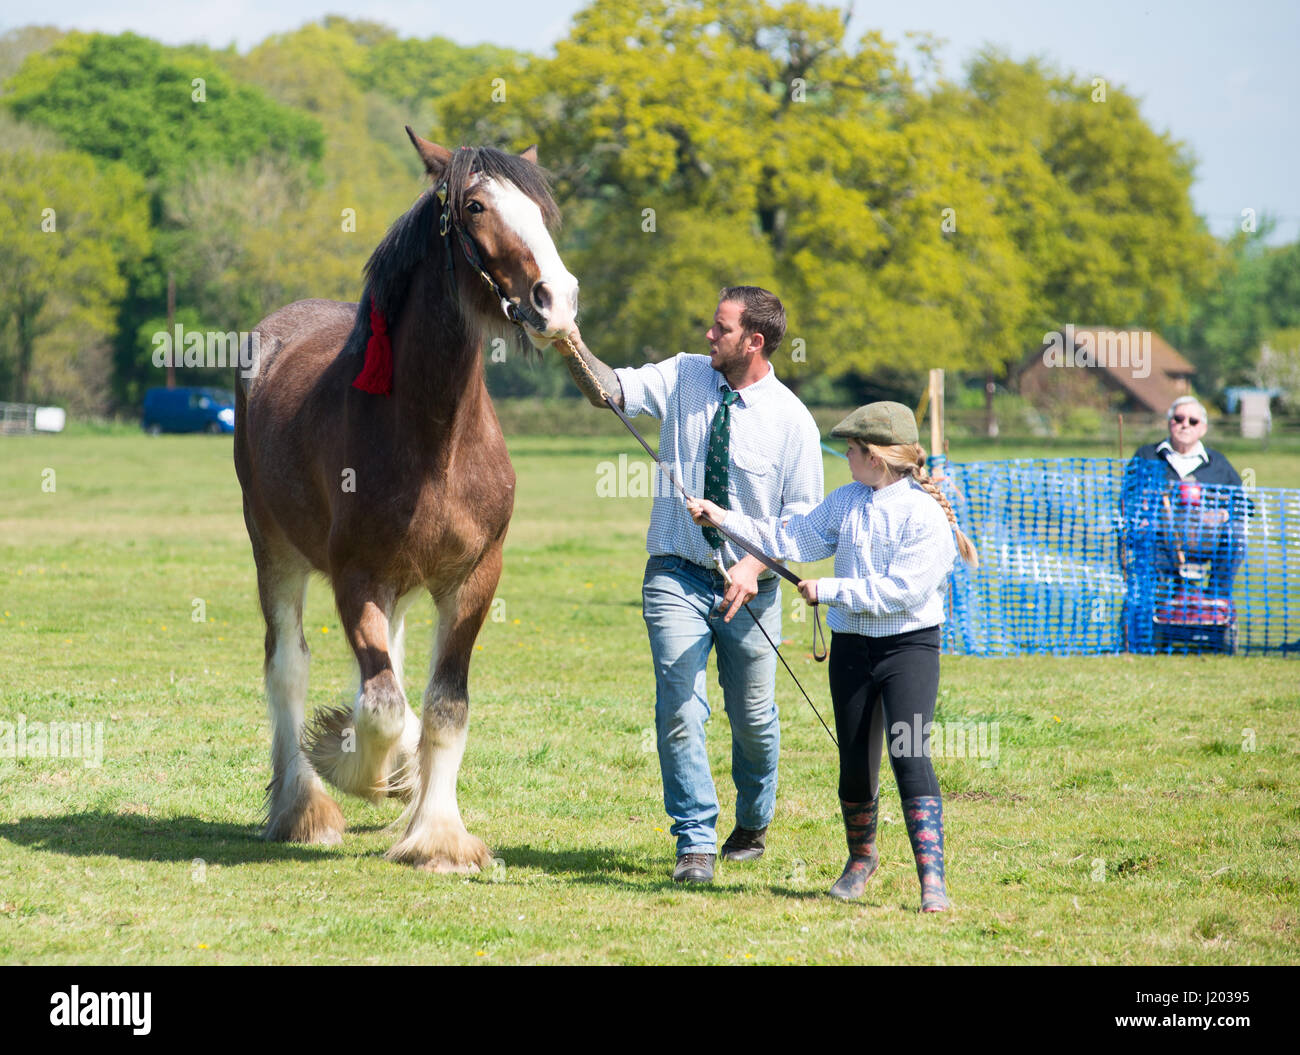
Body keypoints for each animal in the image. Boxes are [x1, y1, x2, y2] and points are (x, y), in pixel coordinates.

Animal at [233, 129, 578, 871]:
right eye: (474, 205)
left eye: (543, 210)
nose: (556, 299)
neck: (435, 440)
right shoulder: (356, 576)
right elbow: (382, 705)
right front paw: (352, 759)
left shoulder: (473, 580)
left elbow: (444, 706)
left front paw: (438, 834)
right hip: (275, 552)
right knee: (288, 667)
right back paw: (303, 807)